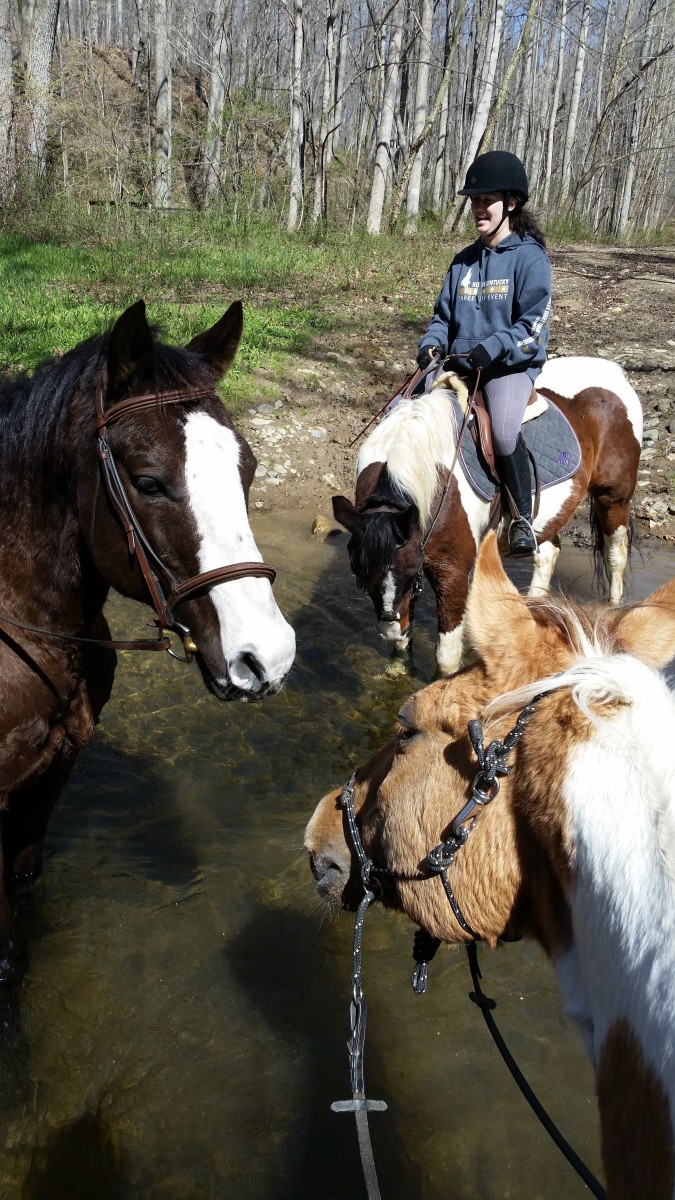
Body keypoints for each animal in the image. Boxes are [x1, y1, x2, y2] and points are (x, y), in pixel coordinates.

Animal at [333, 357, 642, 676]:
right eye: (359, 571)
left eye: (408, 572)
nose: (388, 629)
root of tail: (613, 371)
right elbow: (404, 642)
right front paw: (396, 670)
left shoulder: (451, 570)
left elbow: (446, 658)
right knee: (547, 554)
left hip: (613, 498)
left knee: (615, 555)